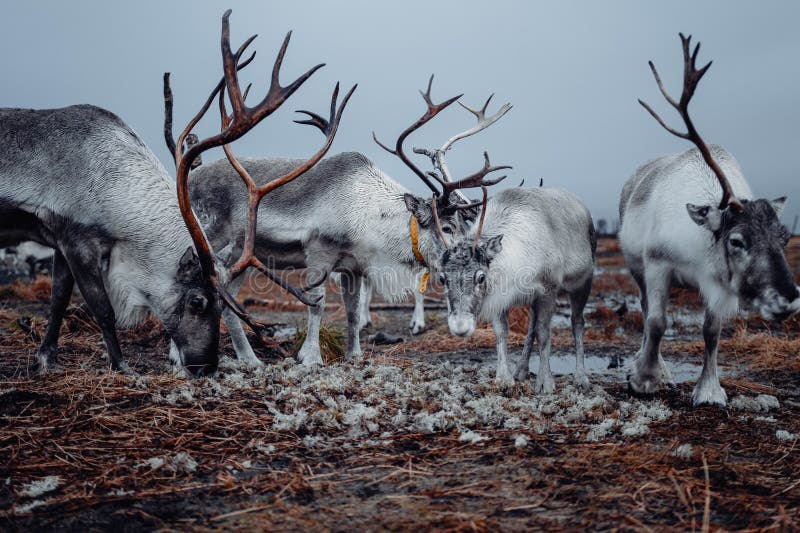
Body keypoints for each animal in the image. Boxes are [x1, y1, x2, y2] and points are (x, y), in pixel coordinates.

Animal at [0, 10, 349, 377]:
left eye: (223, 304)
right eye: (198, 301)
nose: (206, 366)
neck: (103, 177)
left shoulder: (58, 239)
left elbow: (57, 300)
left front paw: (45, 358)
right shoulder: (75, 240)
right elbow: (102, 308)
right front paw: (122, 366)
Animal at [164, 75, 510, 368]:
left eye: (463, 225)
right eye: (447, 227)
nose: (475, 261)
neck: (369, 216)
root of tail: (189, 178)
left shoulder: (353, 267)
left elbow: (354, 312)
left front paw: (354, 354)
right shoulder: (320, 253)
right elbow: (316, 303)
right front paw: (310, 357)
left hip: (242, 255)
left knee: (227, 299)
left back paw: (242, 357)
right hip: (215, 240)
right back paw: (188, 355)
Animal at [621, 34, 800, 406]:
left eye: (785, 237)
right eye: (737, 241)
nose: (789, 299)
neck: (698, 252)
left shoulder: (717, 281)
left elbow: (712, 331)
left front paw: (709, 390)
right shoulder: (658, 265)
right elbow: (657, 323)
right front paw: (644, 379)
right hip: (635, 267)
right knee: (644, 310)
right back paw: (657, 369)